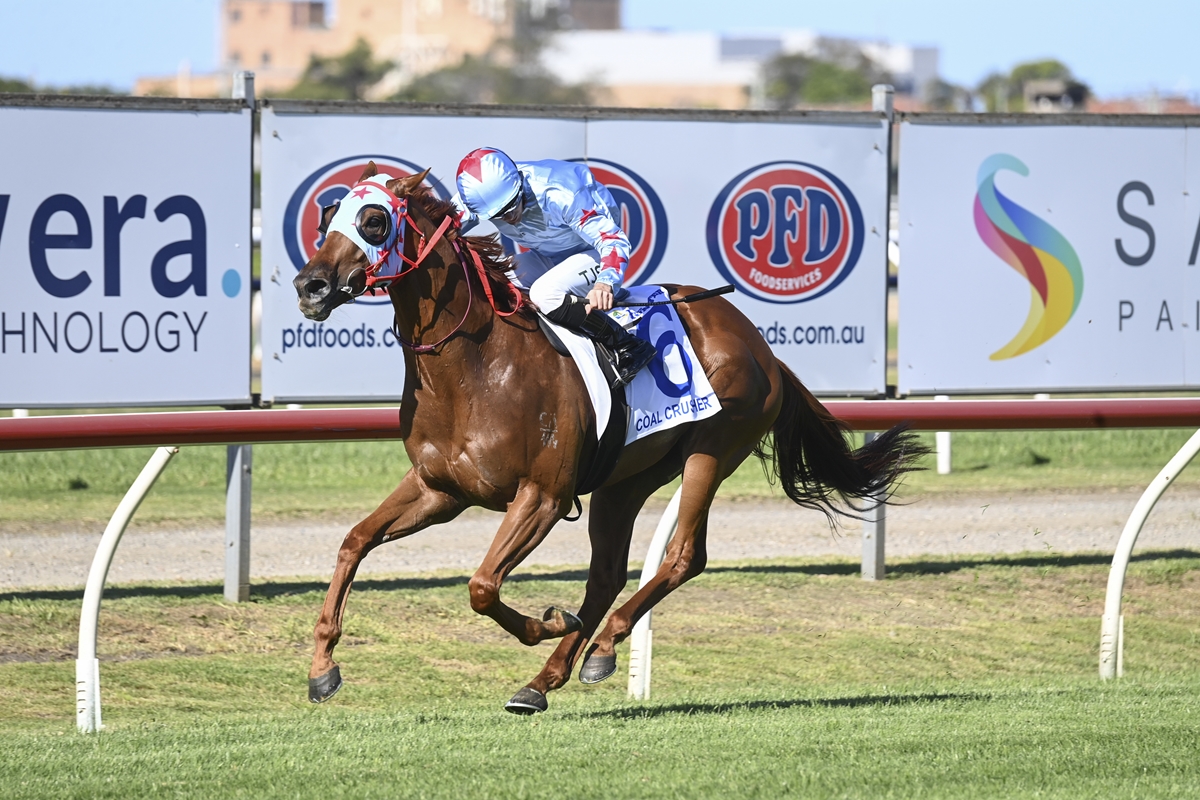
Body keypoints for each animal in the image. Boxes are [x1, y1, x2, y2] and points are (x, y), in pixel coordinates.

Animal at [293, 162, 927, 714]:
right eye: (326, 216)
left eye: (374, 219)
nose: (311, 284)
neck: (474, 363)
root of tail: (758, 343)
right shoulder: (439, 488)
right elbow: (353, 542)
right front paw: (323, 666)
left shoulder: (542, 496)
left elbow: (481, 585)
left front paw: (546, 621)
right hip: (625, 480)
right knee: (605, 577)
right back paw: (545, 680)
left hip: (711, 450)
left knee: (682, 556)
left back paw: (598, 646)